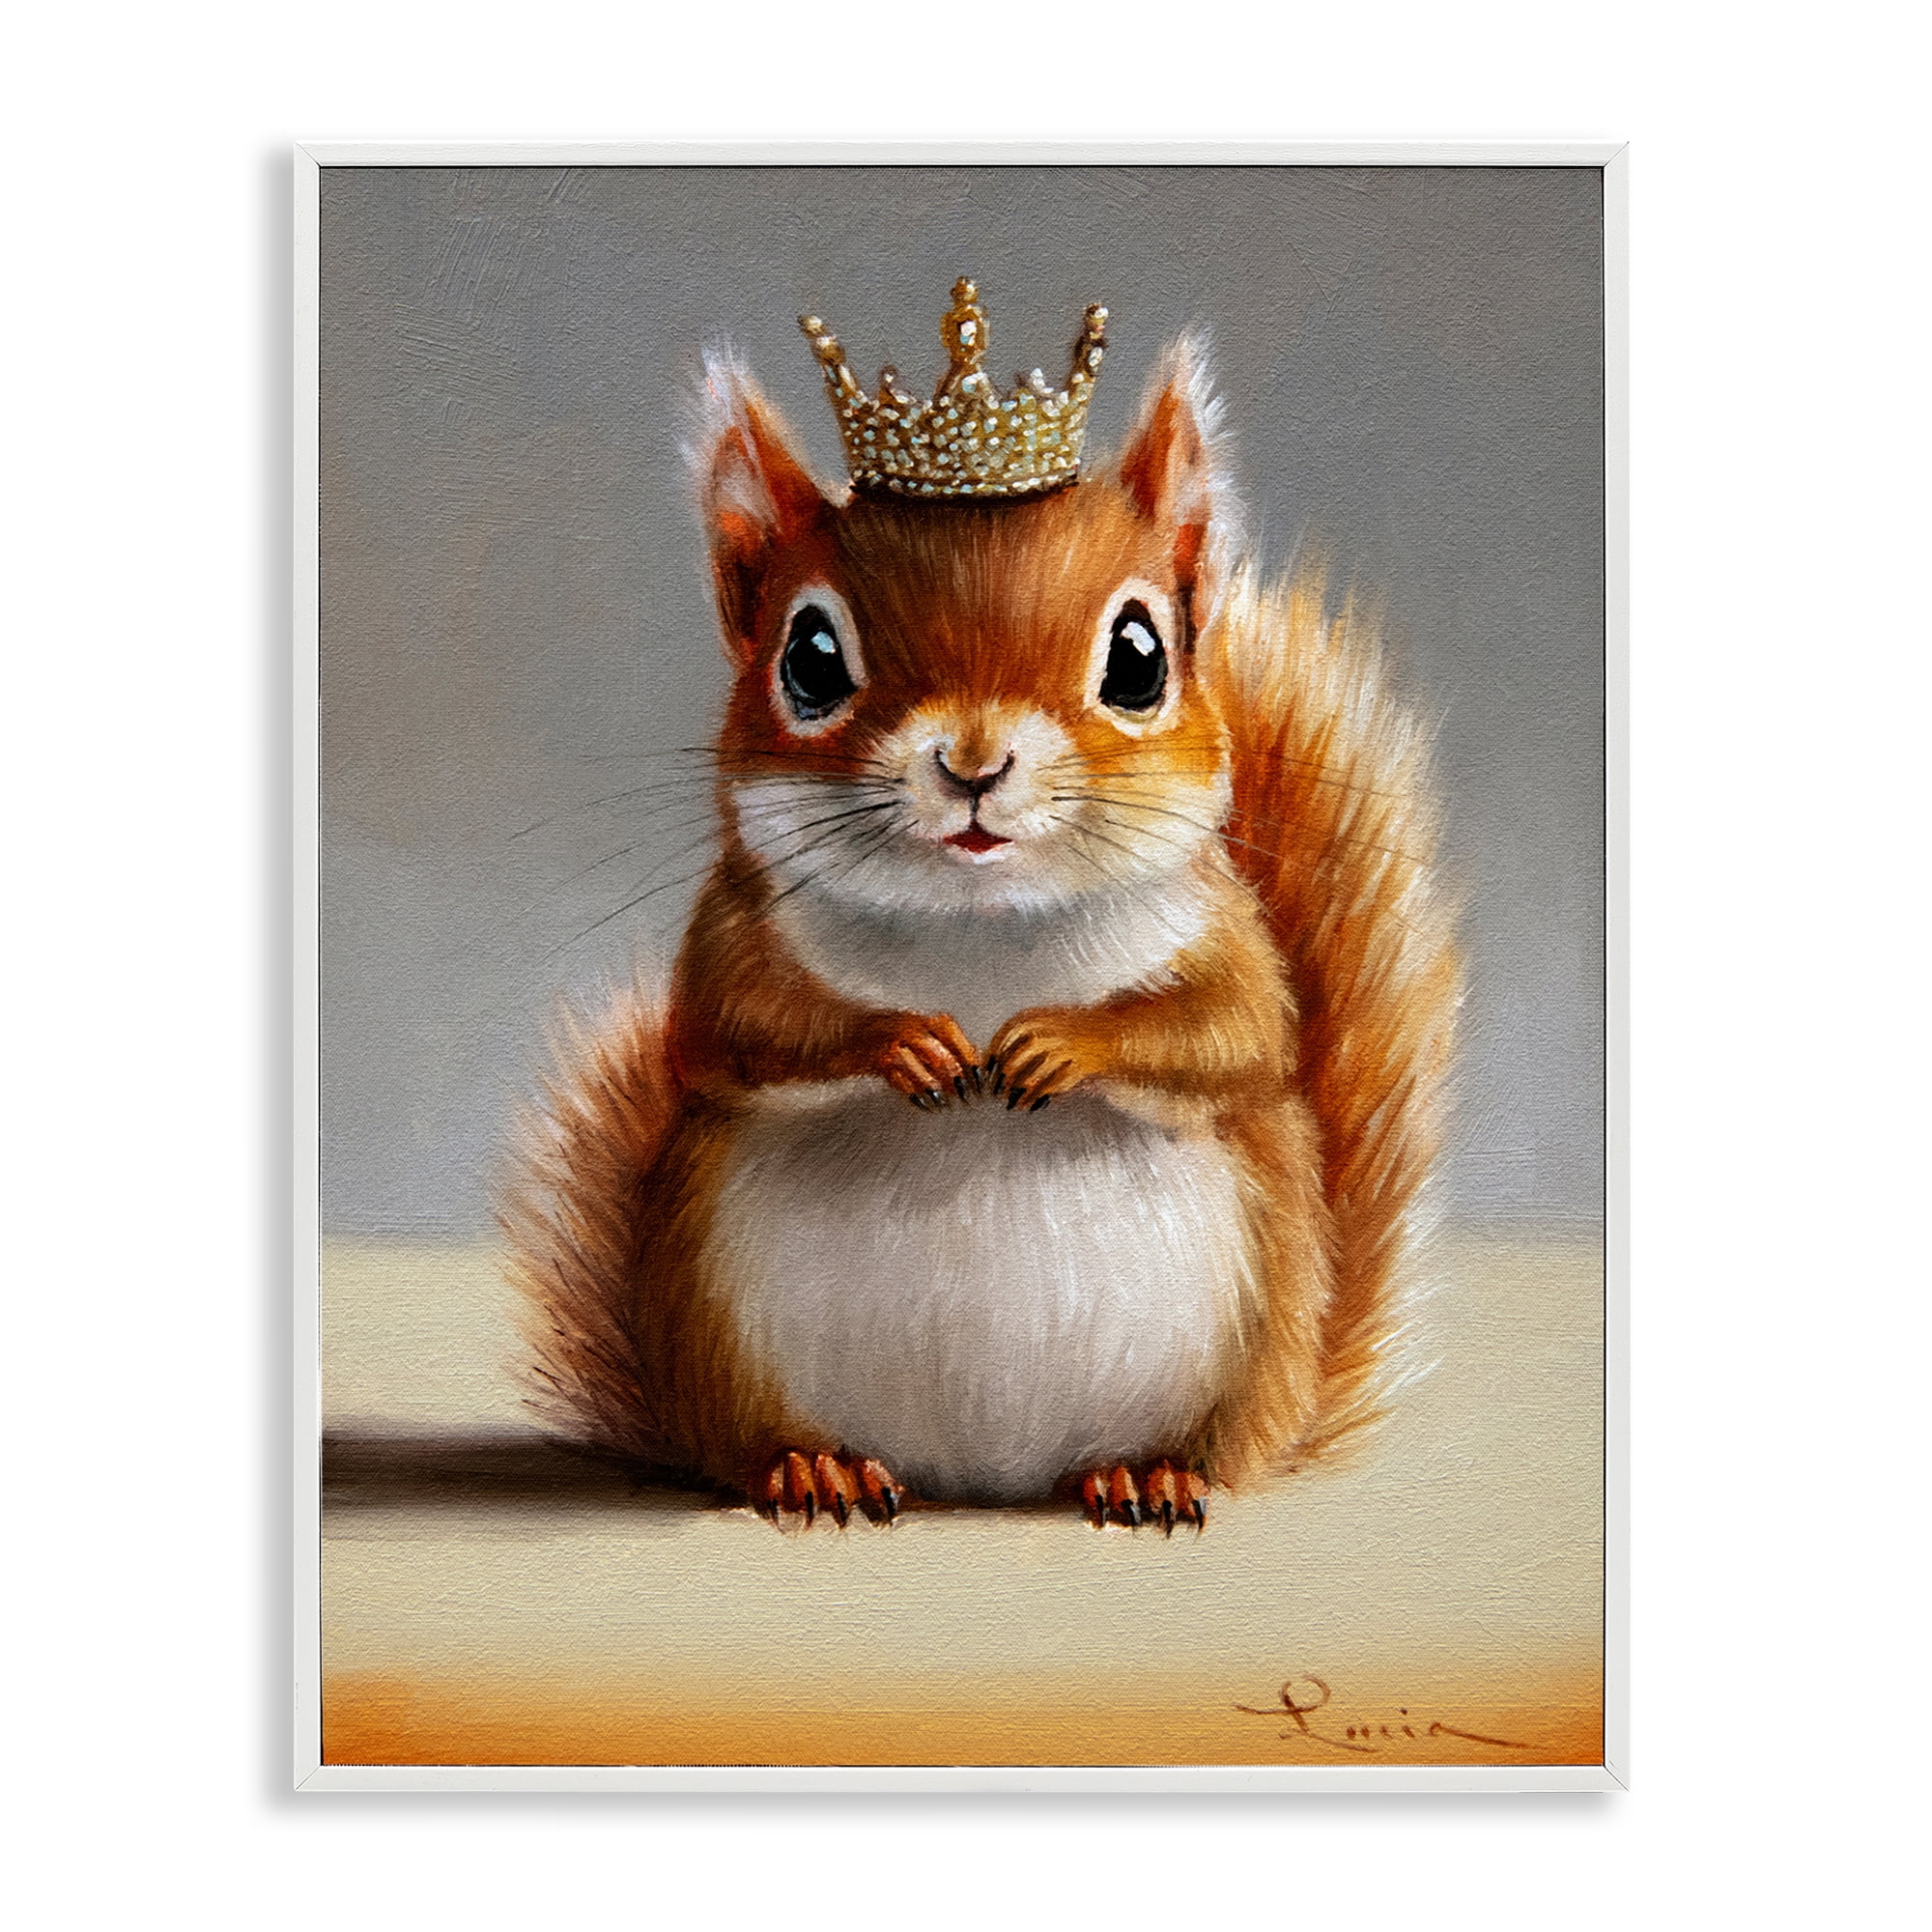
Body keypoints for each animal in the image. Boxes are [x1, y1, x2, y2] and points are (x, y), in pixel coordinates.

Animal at [501, 284, 1460, 1532]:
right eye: (809, 656)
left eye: (1140, 657)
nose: (971, 762)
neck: (980, 926)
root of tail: (982, 1476)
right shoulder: (731, 931)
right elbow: (731, 1026)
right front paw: (901, 1039)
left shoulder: (1227, 935)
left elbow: (1233, 1030)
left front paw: (1060, 1042)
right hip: (714, 1326)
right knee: (756, 1442)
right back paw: (811, 1466)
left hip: (1253, 1338)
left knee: (1211, 1447)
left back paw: (1152, 1471)